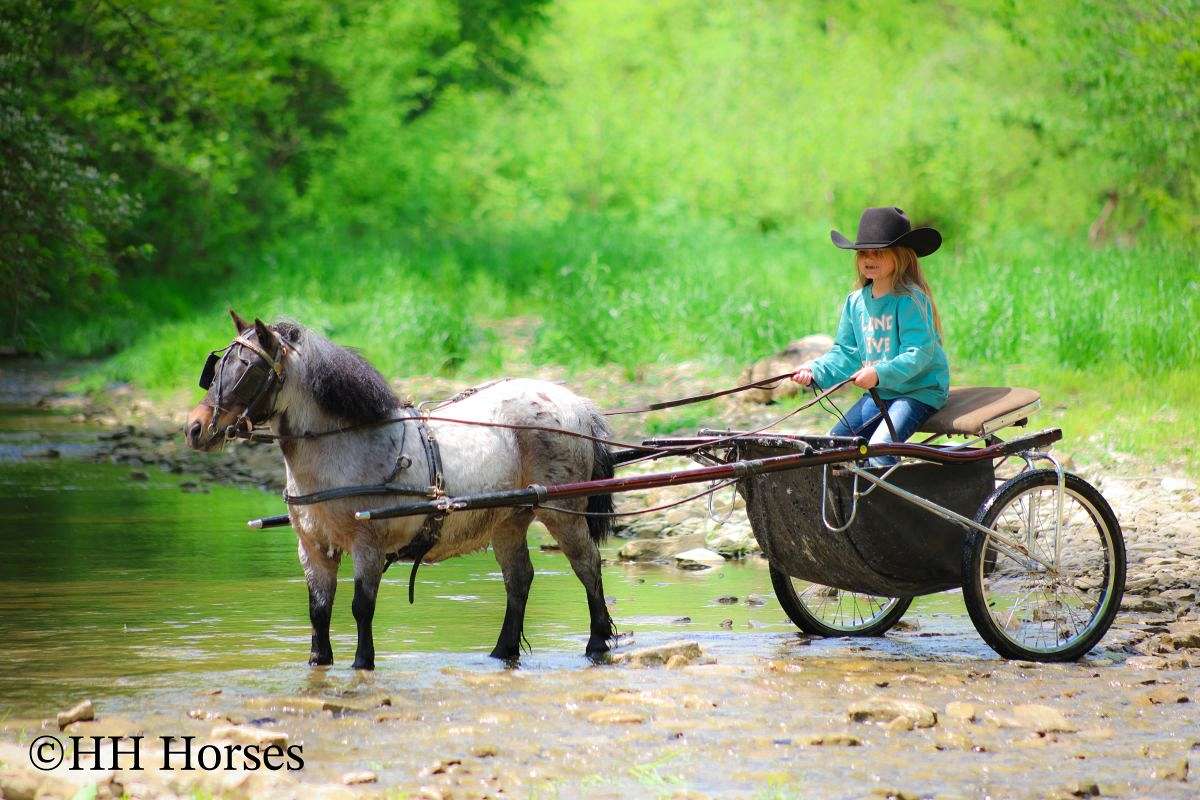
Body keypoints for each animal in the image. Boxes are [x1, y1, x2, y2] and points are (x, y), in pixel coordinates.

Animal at [185, 311, 616, 670]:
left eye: (248, 370)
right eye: (216, 368)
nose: (194, 428)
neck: (344, 446)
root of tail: (578, 404)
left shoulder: (369, 544)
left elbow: (362, 606)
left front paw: (363, 663)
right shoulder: (313, 547)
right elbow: (319, 610)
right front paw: (319, 663)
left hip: (563, 511)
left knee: (587, 565)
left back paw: (597, 643)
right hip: (509, 518)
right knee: (519, 579)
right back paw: (502, 651)